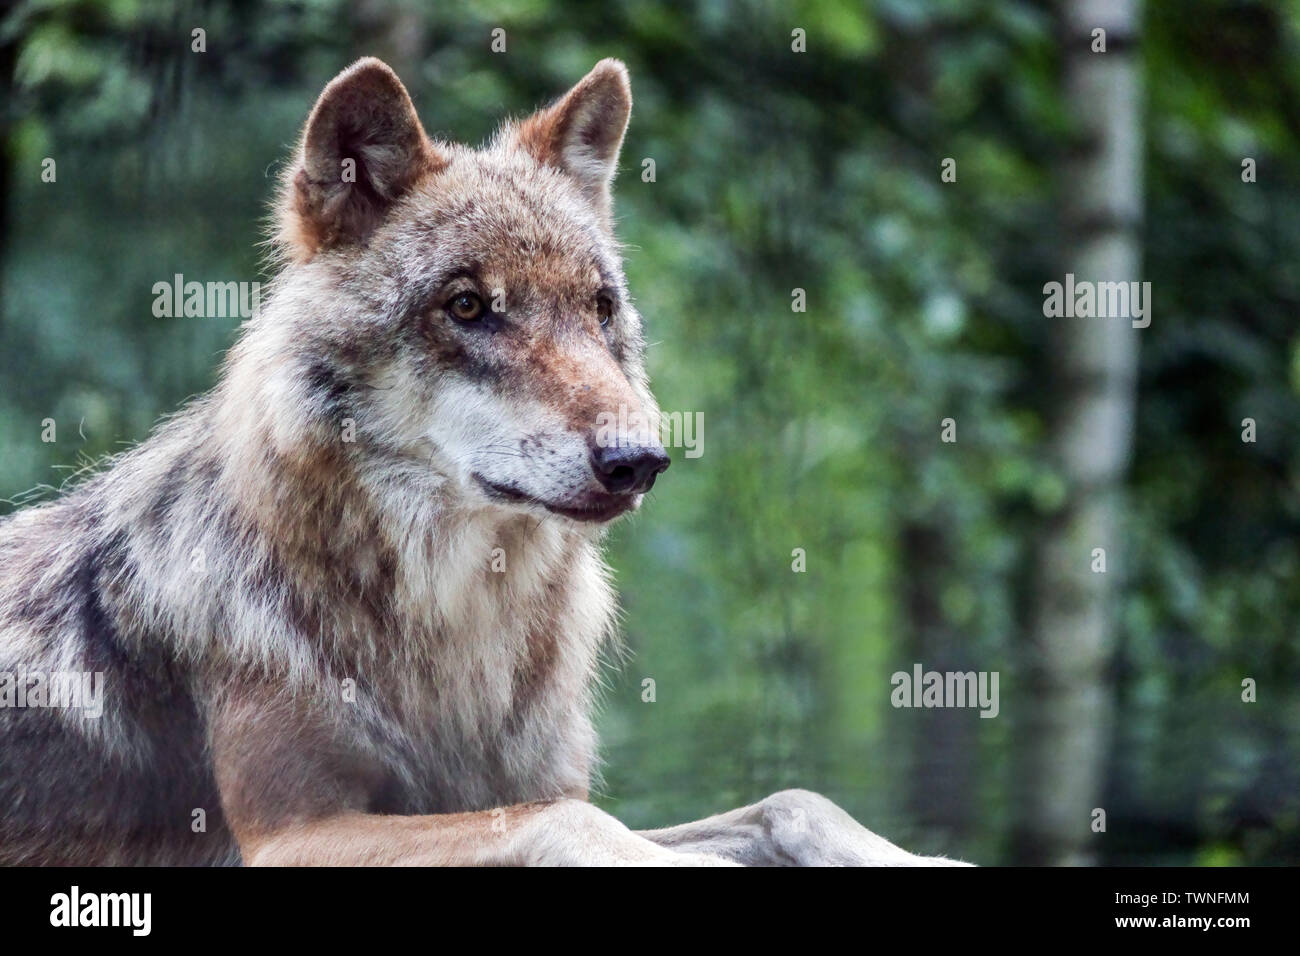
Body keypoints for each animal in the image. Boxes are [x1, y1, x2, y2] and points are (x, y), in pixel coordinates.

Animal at [0, 58, 966, 866]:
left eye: (600, 307)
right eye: (468, 306)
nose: (641, 460)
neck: (456, 616)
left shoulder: (517, 779)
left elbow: (792, 799)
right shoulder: (294, 832)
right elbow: (573, 821)